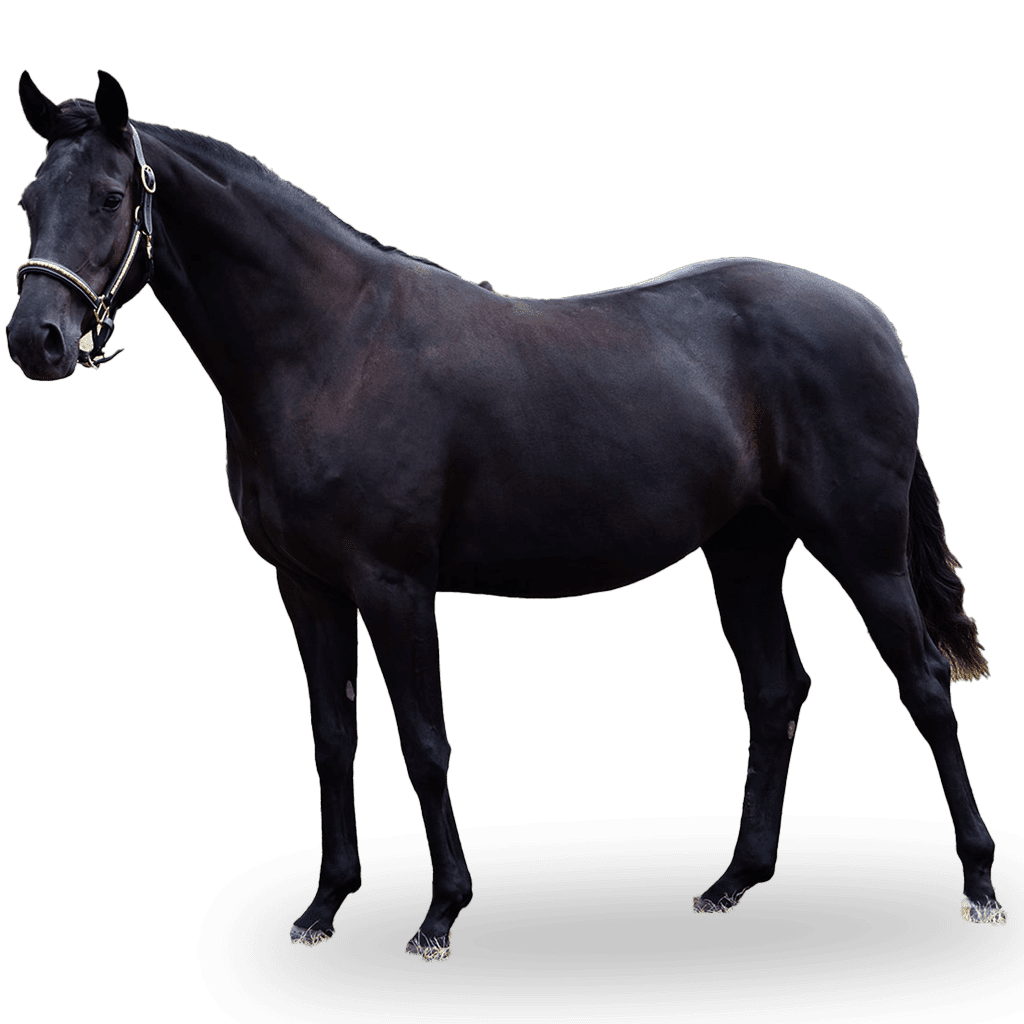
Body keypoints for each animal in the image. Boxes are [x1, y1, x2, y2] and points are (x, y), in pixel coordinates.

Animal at [6, 70, 1008, 963]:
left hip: (863, 549)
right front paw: (324, 908)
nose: (35, 340)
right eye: (27, 200)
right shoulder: (307, 586)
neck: (330, 344)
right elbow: (333, 739)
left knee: (925, 686)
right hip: (745, 549)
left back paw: (980, 886)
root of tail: (871, 320)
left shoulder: (395, 585)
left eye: (109, 196)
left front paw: (440, 919)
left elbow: (424, 745)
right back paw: (733, 882)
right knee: (775, 689)